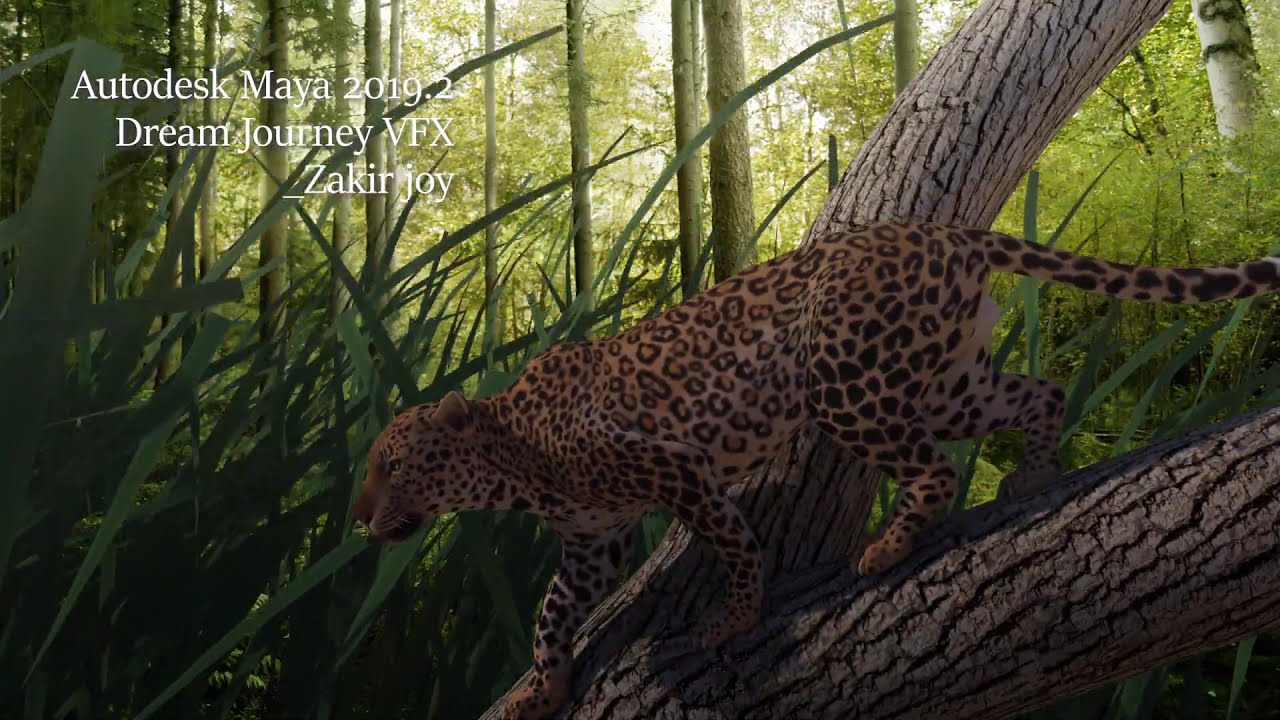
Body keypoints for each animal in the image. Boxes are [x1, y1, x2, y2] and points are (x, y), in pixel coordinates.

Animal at [352, 221, 1280, 720]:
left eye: (391, 464)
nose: (358, 518)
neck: (515, 460)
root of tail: (944, 229)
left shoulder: (677, 468)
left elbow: (734, 544)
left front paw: (733, 620)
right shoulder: (592, 541)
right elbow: (551, 614)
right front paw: (541, 691)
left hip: (846, 380)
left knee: (933, 470)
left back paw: (889, 547)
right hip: (946, 378)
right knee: (1037, 392)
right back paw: (1036, 475)